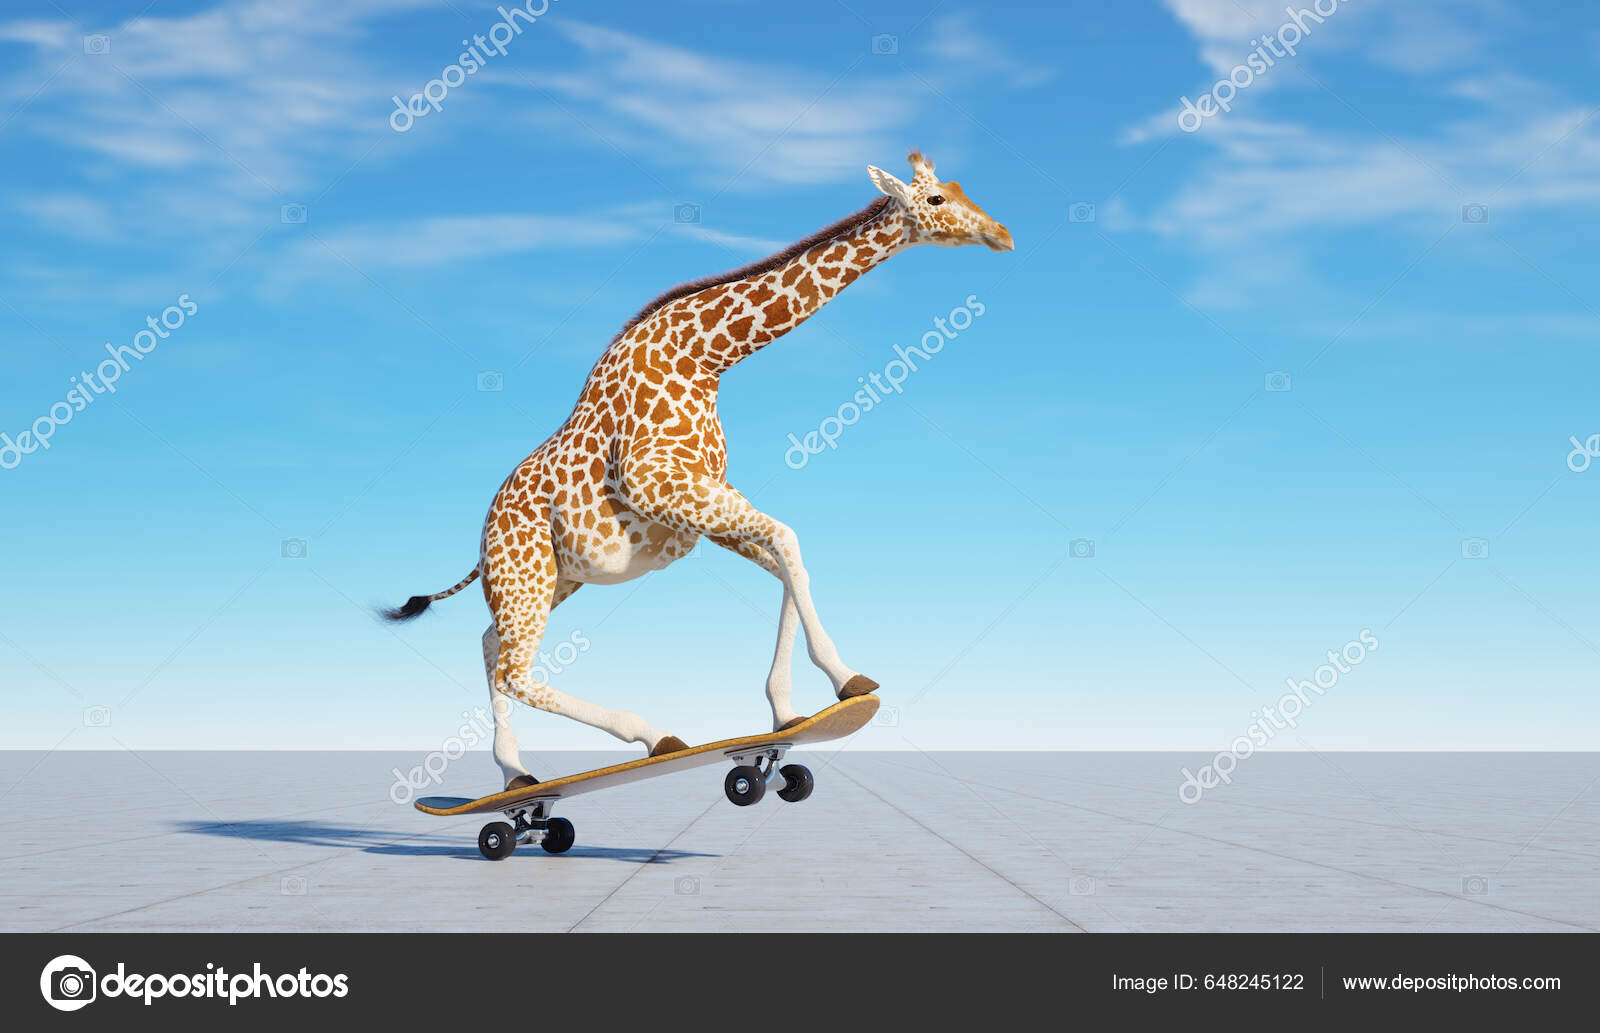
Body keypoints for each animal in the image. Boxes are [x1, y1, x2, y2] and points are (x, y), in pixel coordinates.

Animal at [384, 151, 1012, 790]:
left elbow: (788, 560)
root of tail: (483, 533)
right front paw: (846, 680)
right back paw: (651, 736)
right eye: (935, 199)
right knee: (514, 669)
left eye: (958, 185)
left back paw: (516, 775)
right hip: (525, 574)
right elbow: (789, 541)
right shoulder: (665, 488)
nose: (1002, 234)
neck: (704, 358)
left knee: (490, 645)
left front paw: (788, 713)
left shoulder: (702, 501)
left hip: (554, 577)